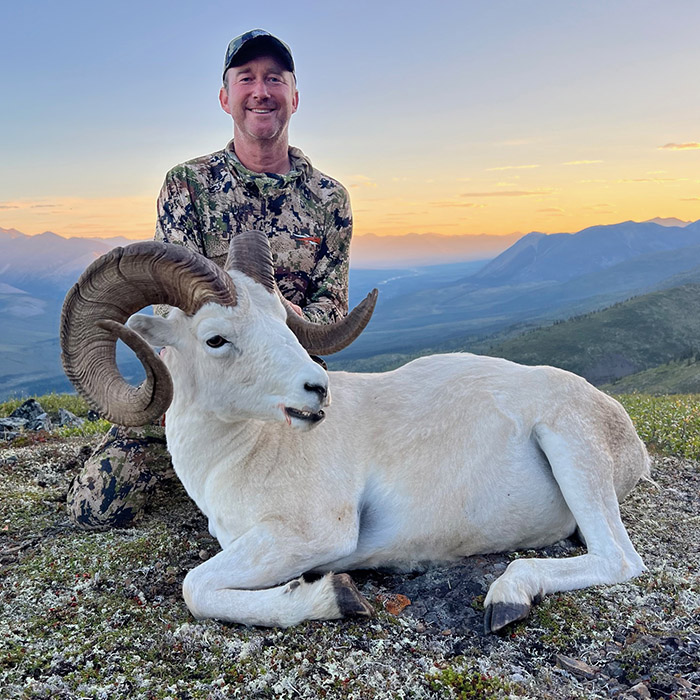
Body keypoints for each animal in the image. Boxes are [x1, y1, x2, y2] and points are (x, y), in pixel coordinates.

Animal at [60, 230, 649, 633]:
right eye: (216, 339)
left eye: (282, 320)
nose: (317, 390)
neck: (238, 459)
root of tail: (627, 434)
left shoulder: (311, 536)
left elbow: (195, 587)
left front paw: (335, 598)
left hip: (570, 451)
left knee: (618, 559)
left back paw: (508, 595)